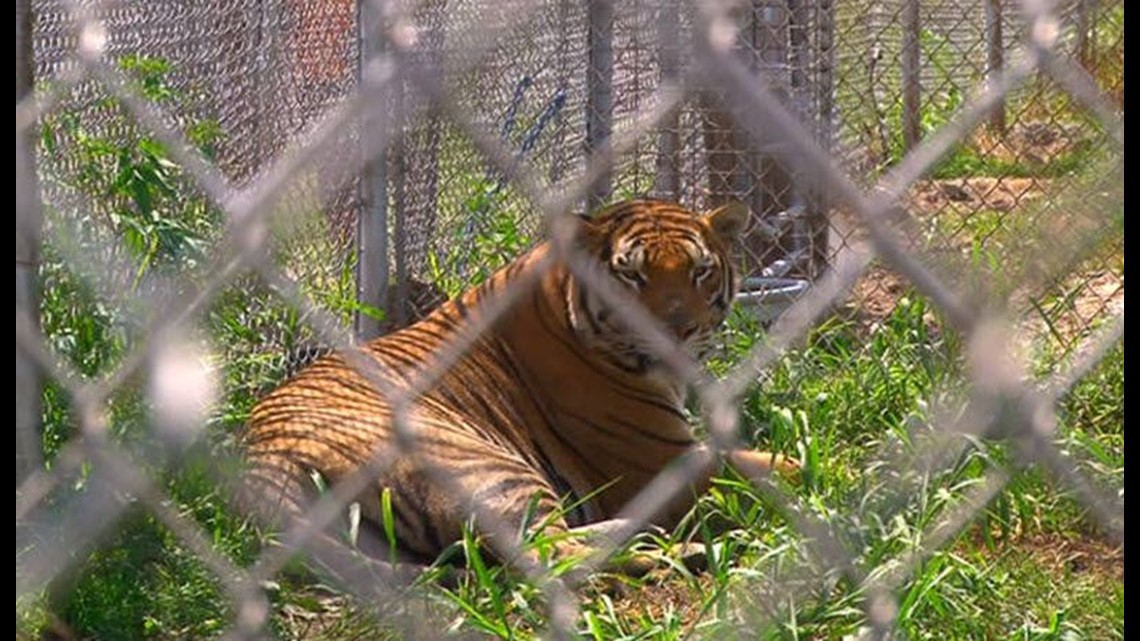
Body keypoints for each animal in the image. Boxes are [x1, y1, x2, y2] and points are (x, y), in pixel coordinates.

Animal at [240, 198, 799, 582]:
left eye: (700, 271)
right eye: (632, 276)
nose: (678, 330)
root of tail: (261, 460)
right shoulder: (664, 463)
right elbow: (777, 469)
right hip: (485, 465)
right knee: (546, 555)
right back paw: (678, 555)